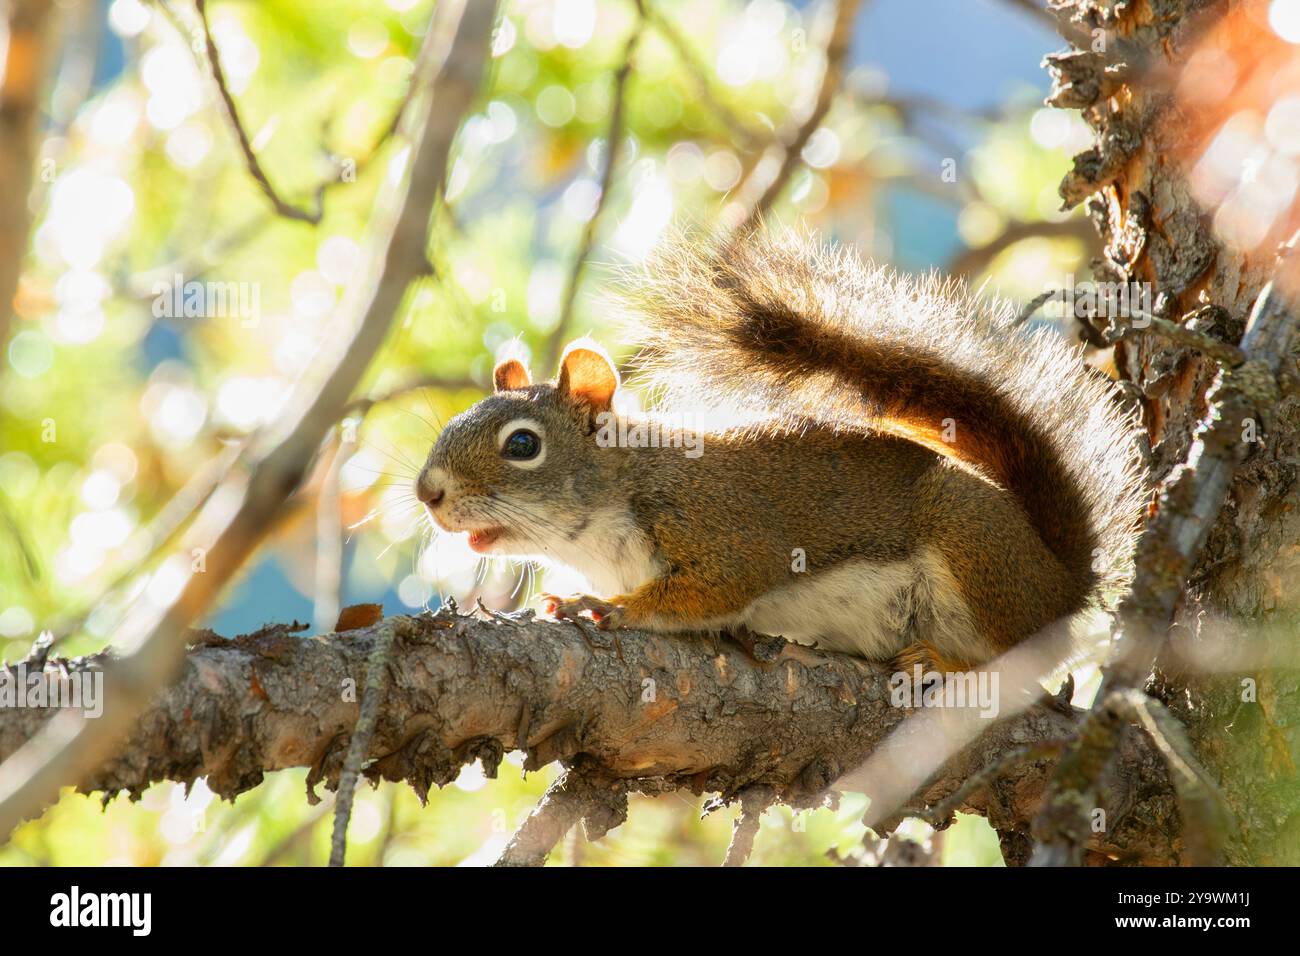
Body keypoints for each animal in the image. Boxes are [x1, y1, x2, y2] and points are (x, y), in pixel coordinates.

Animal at [415, 230, 1145, 672]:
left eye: (523, 444)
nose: (428, 493)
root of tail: (1062, 579)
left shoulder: (723, 528)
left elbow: (716, 586)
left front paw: (610, 608)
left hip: (974, 541)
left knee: (1025, 658)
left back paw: (945, 664)